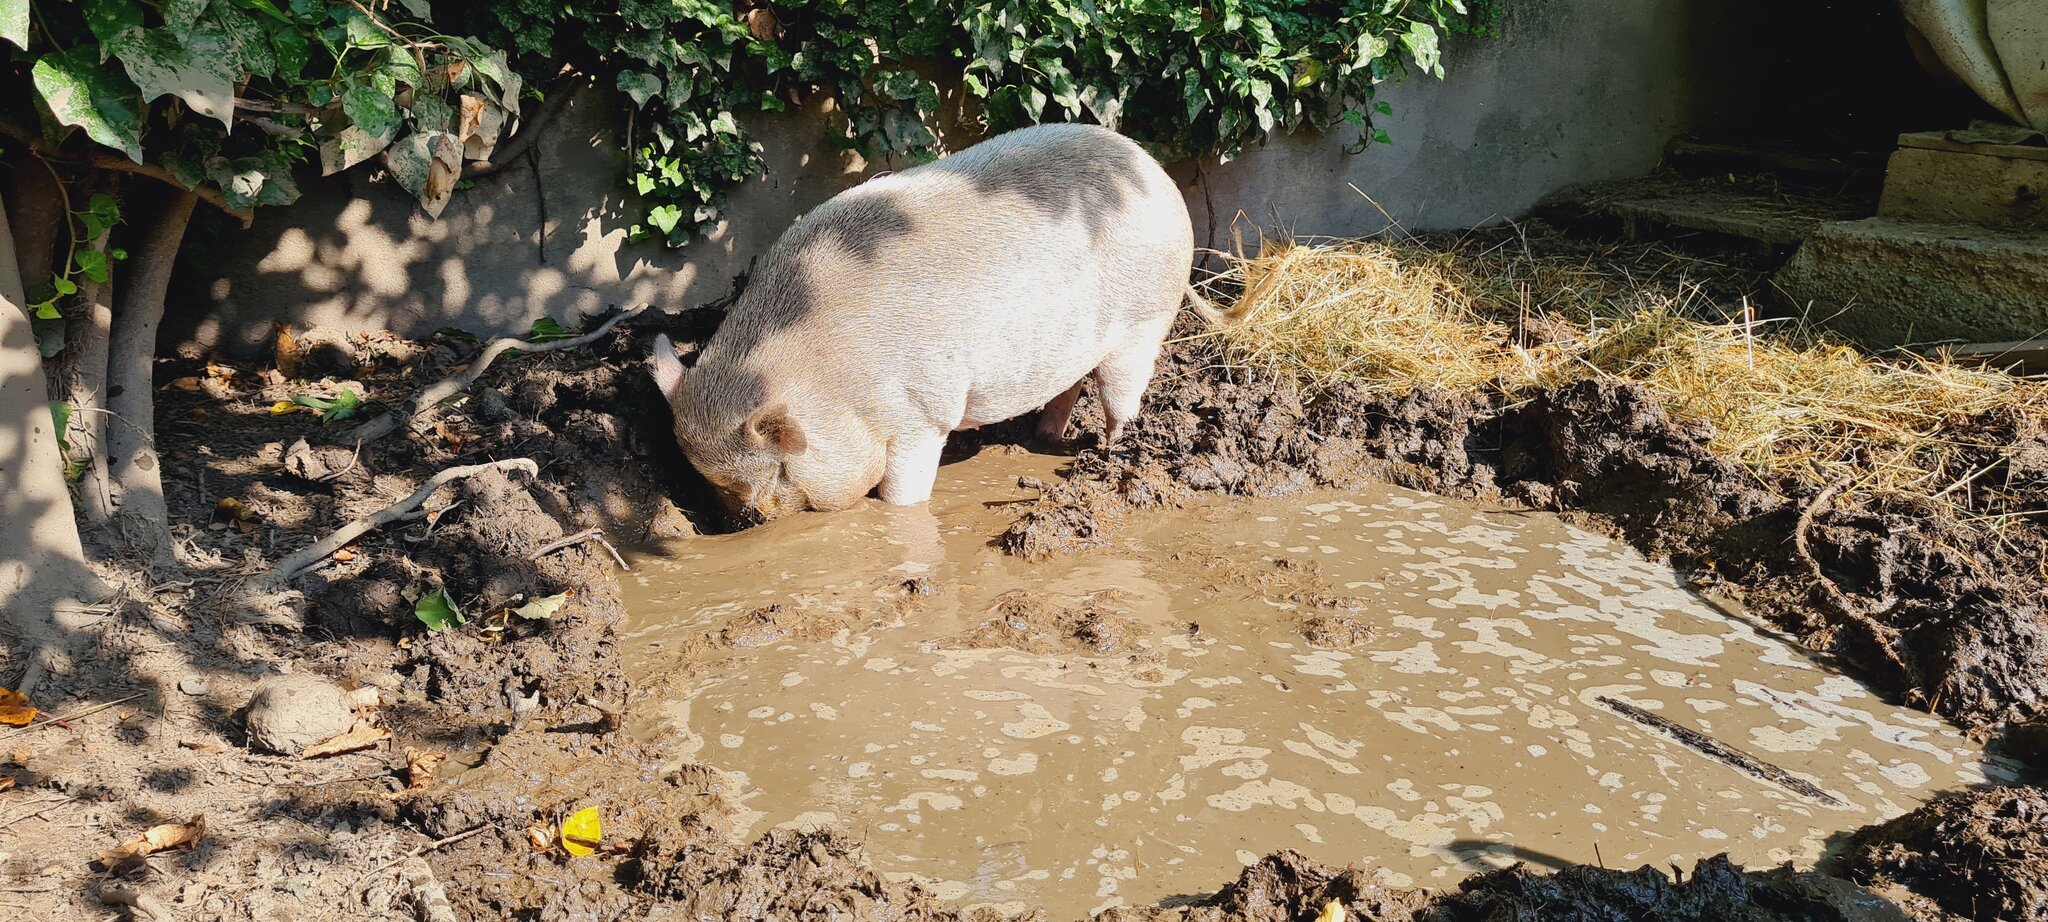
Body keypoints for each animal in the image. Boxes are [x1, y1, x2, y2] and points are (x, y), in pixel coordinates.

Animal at [649, 122, 1199, 521]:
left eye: (780, 469)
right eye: (709, 479)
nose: (747, 519)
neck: (837, 378)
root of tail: (1155, 171)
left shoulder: (923, 411)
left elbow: (902, 492)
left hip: (1145, 322)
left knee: (1120, 396)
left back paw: (1103, 457)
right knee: (1072, 383)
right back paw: (1044, 437)